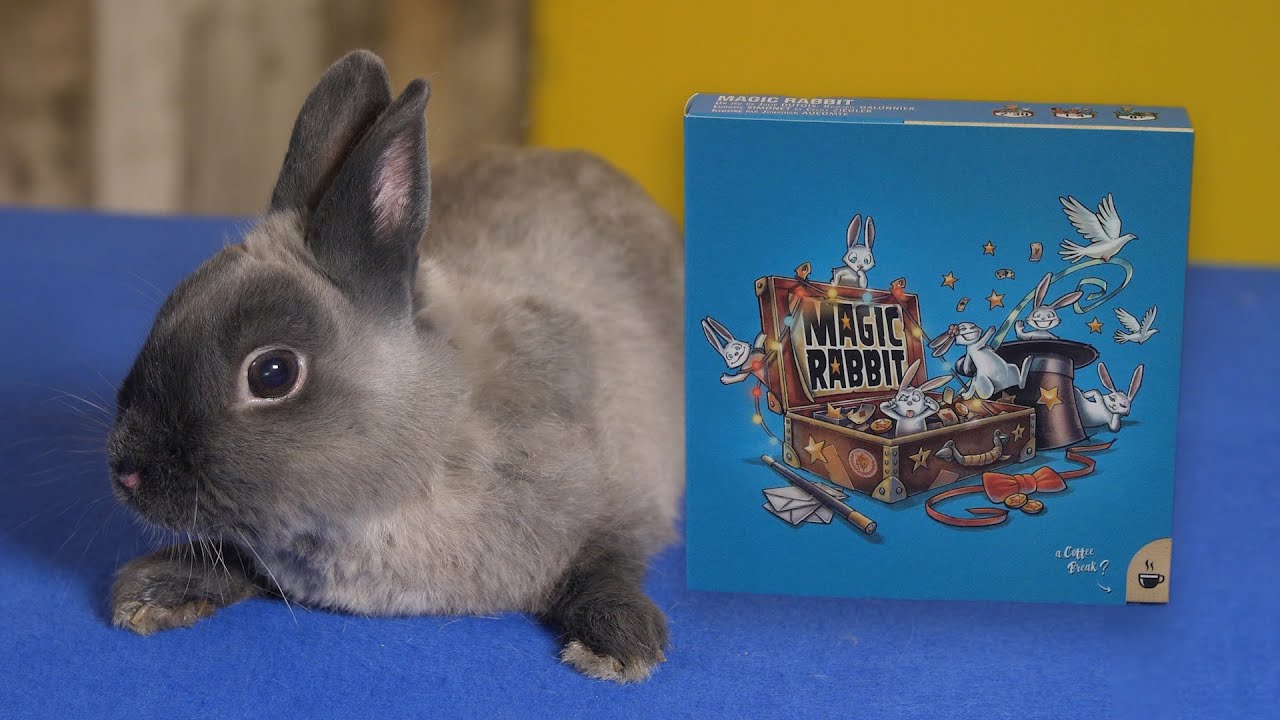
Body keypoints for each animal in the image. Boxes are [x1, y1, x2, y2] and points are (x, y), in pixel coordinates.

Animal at [104, 51, 683, 684]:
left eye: (272, 374)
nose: (126, 472)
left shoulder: (625, 499)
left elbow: (610, 563)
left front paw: (618, 645)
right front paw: (153, 592)